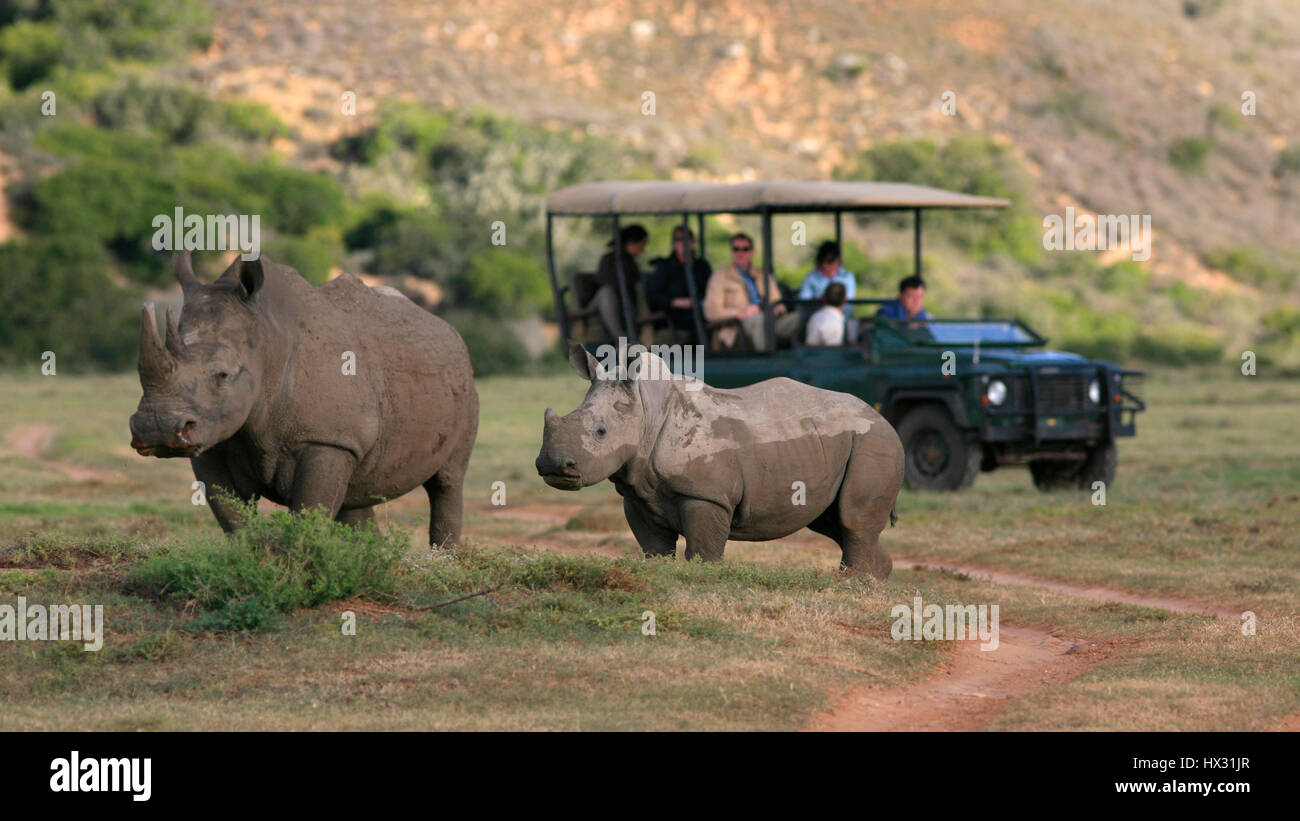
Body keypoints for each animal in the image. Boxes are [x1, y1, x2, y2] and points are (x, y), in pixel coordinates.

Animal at [129, 252, 478, 544]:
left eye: (223, 375)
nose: (157, 427)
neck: (268, 343)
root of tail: (445, 327)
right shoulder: (211, 443)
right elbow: (234, 519)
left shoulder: (326, 439)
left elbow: (309, 517)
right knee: (356, 496)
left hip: (464, 382)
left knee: (448, 480)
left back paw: (442, 561)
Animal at [535, 344, 904, 578]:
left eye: (600, 432)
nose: (553, 466)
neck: (647, 411)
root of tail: (883, 417)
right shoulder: (637, 491)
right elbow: (654, 549)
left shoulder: (707, 494)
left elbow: (704, 551)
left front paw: (705, 578)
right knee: (833, 522)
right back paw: (872, 583)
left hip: (873, 442)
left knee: (852, 520)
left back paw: (853, 584)